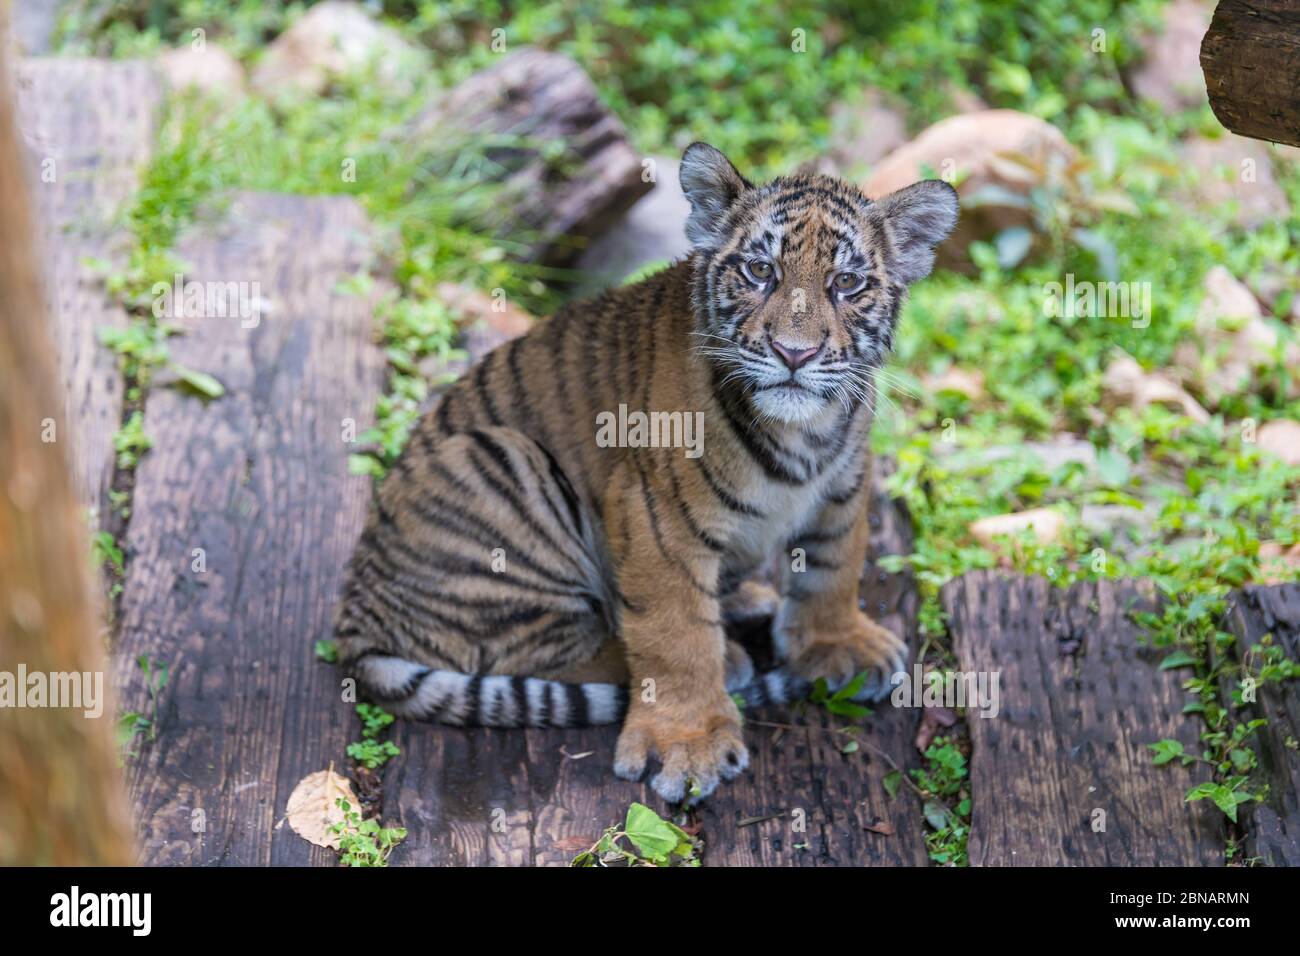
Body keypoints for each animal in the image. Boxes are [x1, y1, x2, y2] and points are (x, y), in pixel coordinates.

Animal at [334, 141, 958, 802]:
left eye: (847, 283)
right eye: (759, 271)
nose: (795, 354)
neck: (804, 434)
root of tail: (356, 612)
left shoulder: (843, 484)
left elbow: (835, 563)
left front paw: (840, 644)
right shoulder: (657, 516)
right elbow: (674, 633)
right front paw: (686, 742)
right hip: (500, 463)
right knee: (534, 653)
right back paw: (727, 658)